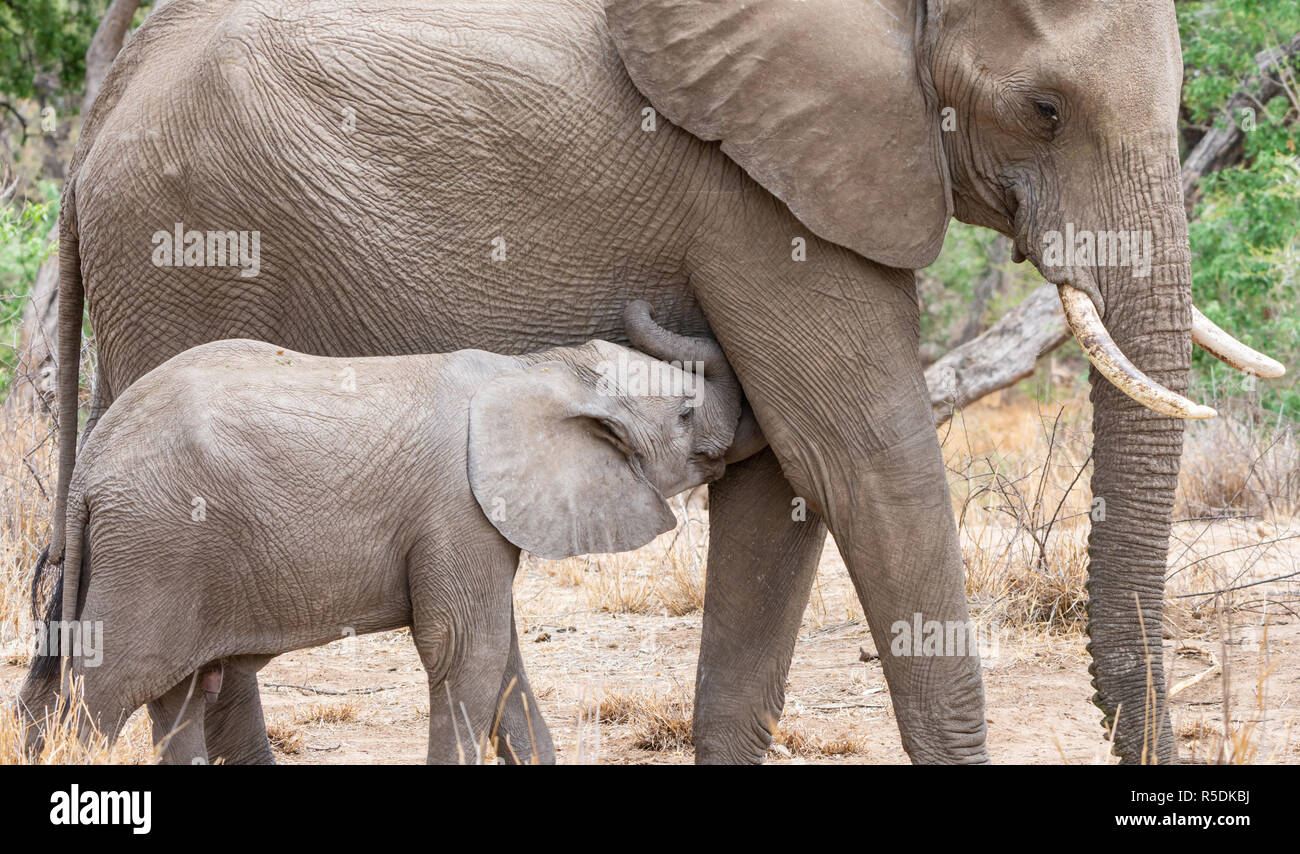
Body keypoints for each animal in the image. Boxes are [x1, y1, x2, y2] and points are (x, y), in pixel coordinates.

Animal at [21, 302, 750, 764]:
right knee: (100, 696)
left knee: (174, 700)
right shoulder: (457, 510)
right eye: (685, 414)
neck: (537, 370)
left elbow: (504, 663)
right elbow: (466, 653)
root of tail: (86, 475)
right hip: (153, 548)